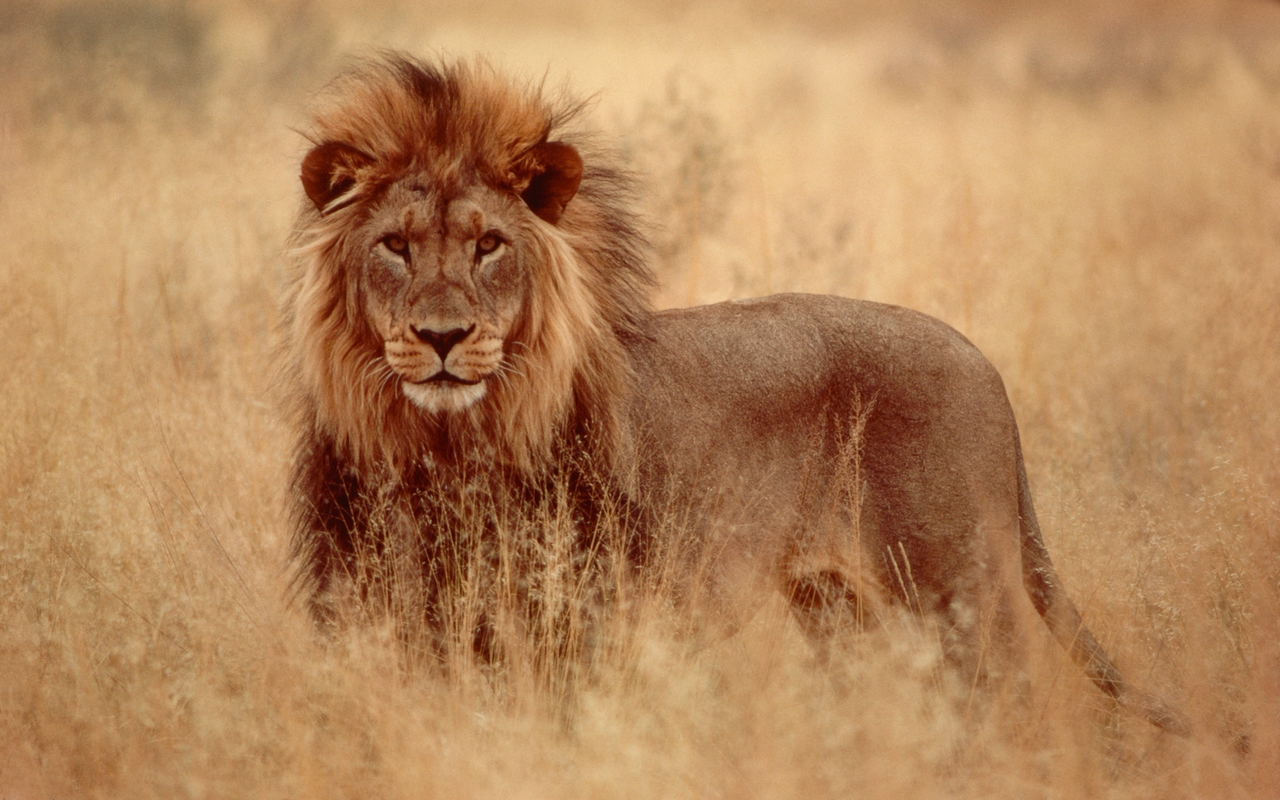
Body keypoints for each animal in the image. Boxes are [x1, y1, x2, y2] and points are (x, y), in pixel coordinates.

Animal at [283, 54, 1187, 734]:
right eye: (395, 246)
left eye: (489, 246)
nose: (442, 337)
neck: (441, 447)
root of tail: (979, 359)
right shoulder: (392, 624)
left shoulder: (571, 625)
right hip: (839, 611)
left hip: (964, 589)